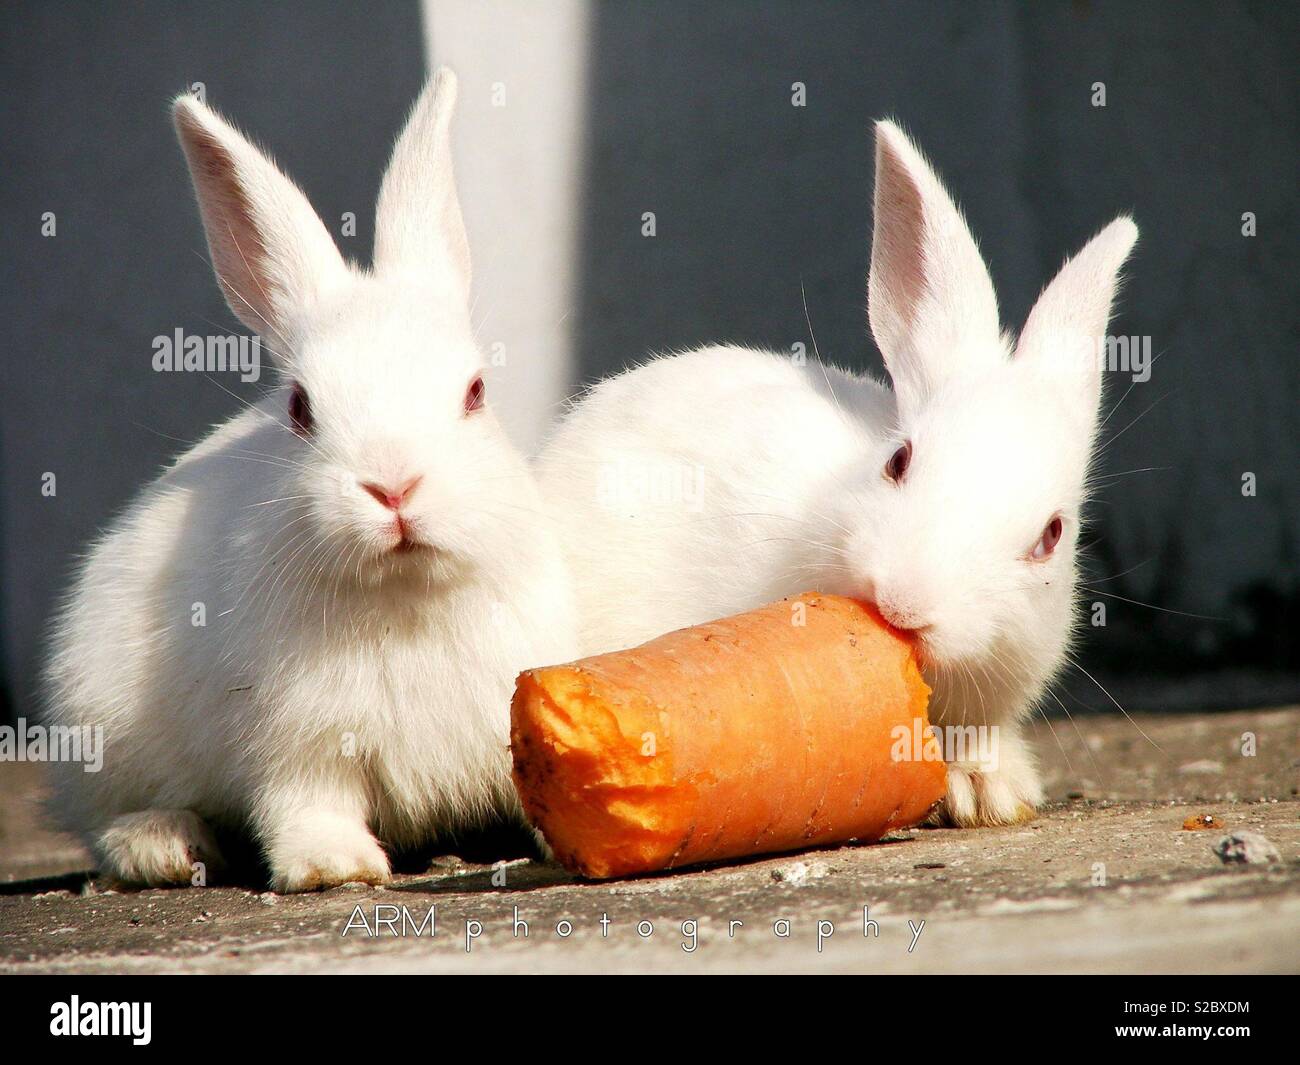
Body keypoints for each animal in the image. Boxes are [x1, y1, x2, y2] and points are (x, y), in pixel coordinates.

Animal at [41, 69, 576, 892]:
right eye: (300, 407)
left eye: (476, 391)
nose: (393, 487)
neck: (401, 601)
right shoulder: (295, 743)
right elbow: (304, 801)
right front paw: (333, 867)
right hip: (99, 718)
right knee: (108, 822)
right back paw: (164, 843)